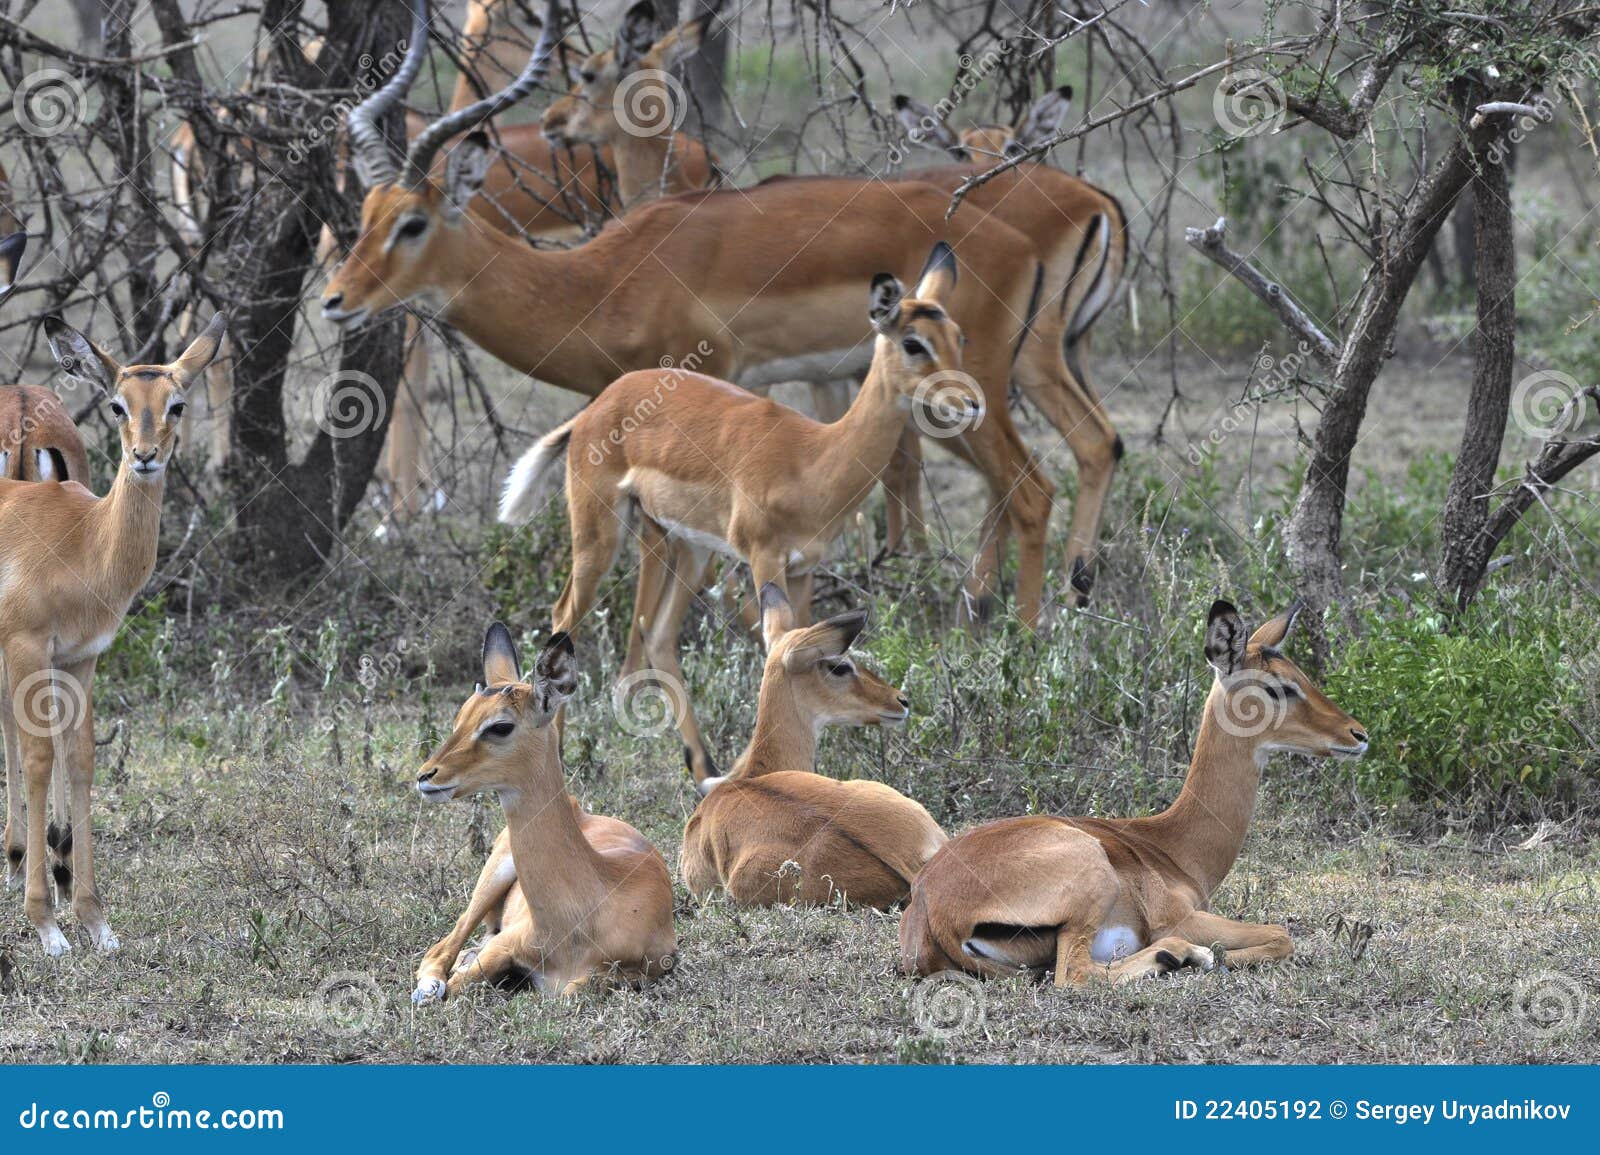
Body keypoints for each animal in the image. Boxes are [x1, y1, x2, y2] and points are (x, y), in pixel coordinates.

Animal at [0, 313, 224, 954]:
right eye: (118, 404)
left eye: (176, 403)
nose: (145, 457)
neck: (83, 539)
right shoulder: (26, 650)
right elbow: (38, 757)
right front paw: (46, 924)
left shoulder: (82, 659)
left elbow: (78, 760)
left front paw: (94, 920)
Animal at [412, 624, 675, 1001]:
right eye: (460, 717)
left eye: (500, 726)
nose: (425, 776)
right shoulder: (505, 945)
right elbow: (456, 985)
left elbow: (573, 989)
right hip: (494, 874)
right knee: (442, 949)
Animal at [496, 244, 982, 781]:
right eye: (914, 343)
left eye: (959, 336)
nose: (972, 403)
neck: (814, 457)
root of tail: (593, 409)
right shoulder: (763, 558)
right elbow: (778, 645)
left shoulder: (804, 569)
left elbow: (802, 639)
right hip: (600, 536)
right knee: (565, 616)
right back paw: (562, 755)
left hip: (685, 548)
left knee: (657, 634)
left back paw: (702, 765)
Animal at [900, 600, 1370, 984]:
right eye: (1278, 687)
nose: (1358, 734)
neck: (1172, 847)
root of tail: (930, 904)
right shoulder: (1180, 917)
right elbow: (1280, 934)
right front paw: (1207, 957)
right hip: (1092, 885)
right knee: (1074, 975)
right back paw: (1180, 956)